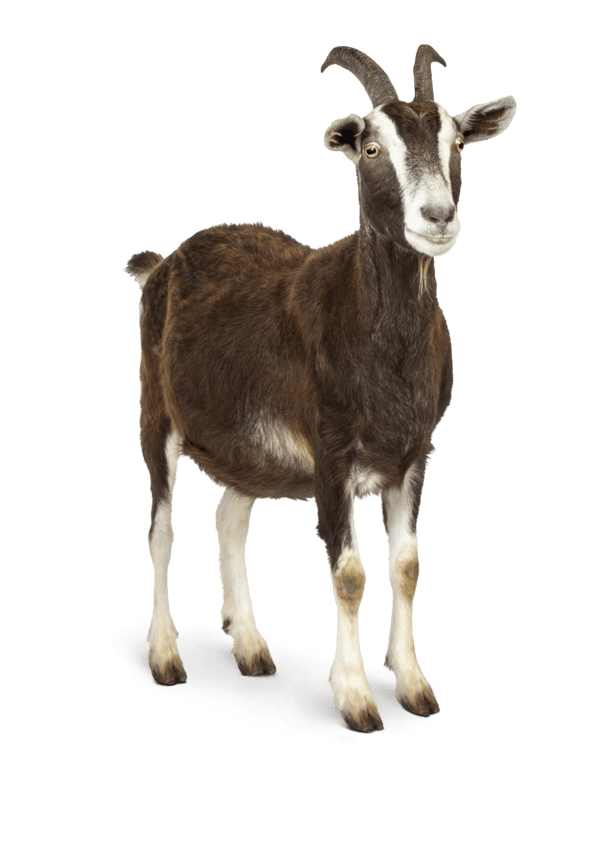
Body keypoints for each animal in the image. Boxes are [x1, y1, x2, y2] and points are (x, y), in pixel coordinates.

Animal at [123, 44, 517, 733]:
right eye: (371, 148)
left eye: (457, 142)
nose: (437, 217)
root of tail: (164, 263)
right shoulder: (331, 454)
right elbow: (351, 574)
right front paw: (355, 697)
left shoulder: (414, 455)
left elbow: (407, 565)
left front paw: (411, 683)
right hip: (157, 415)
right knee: (161, 529)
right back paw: (166, 654)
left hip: (247, 450)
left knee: (230, 518)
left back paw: (251, 647)